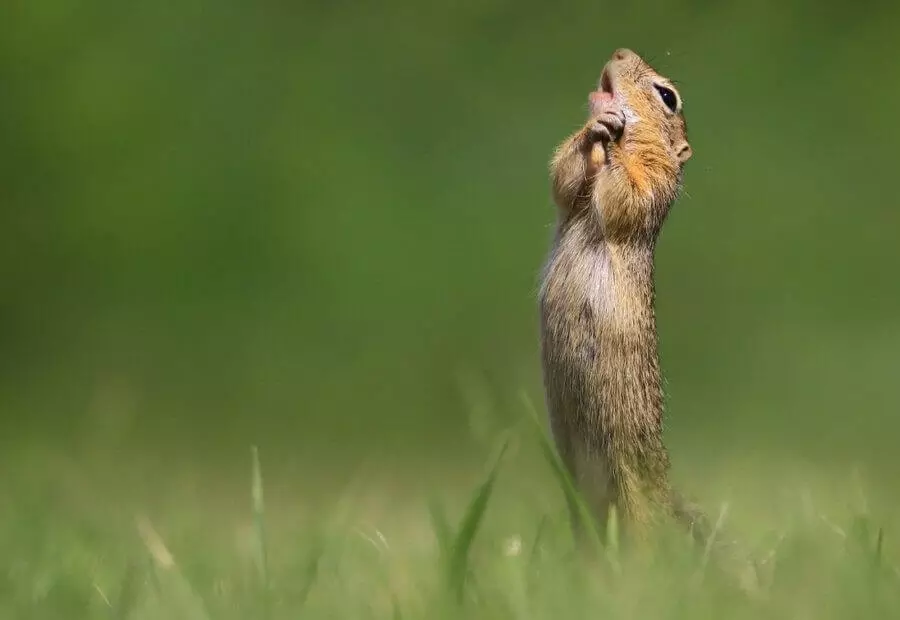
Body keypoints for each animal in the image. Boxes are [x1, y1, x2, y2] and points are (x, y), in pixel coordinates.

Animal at [536, 48, 700, 544]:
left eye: (668, 97)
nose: (620, 52)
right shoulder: (572, 194)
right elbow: (565, 178)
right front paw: (595, 129)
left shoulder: (652, 181)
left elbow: (626, 193)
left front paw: (610, 131)